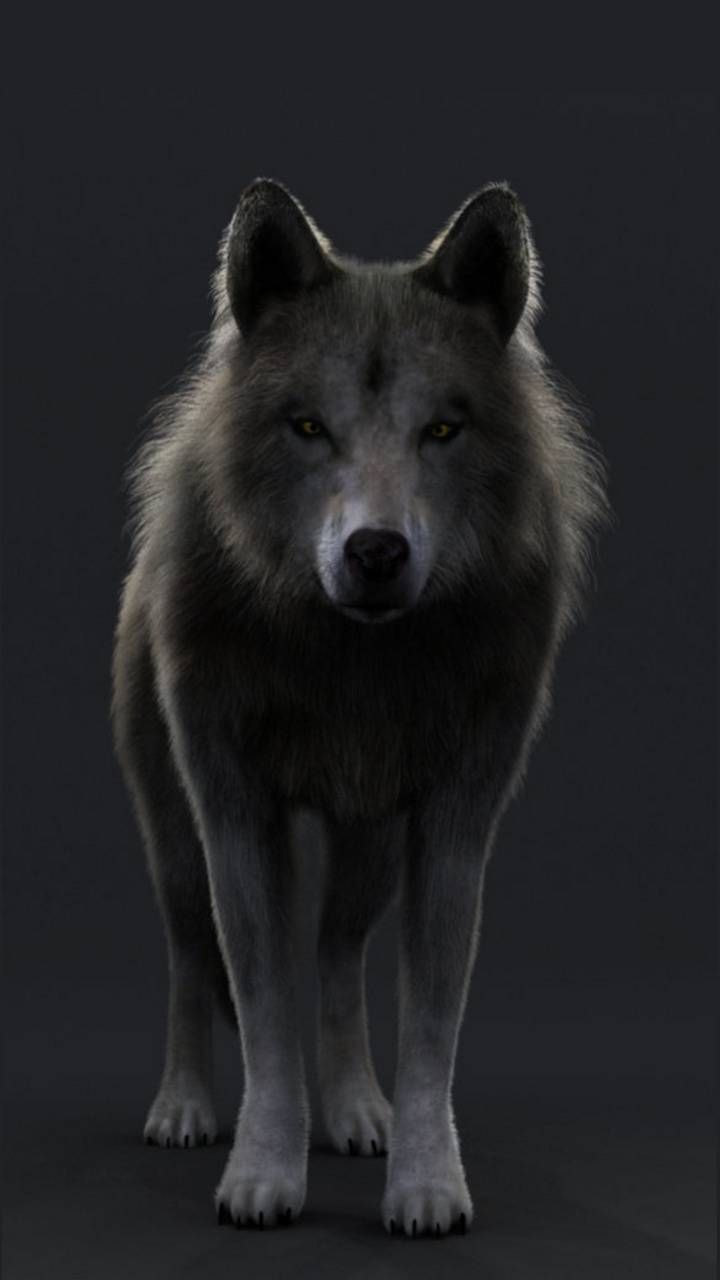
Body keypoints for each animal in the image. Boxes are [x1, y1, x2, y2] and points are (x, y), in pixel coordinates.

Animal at [111, 176, 607, 1237]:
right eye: (308, 427)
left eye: (442, 429)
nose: (376, 552)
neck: (352, 667)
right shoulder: (236, 817)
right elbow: (262, 1012)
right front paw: (263, 1173)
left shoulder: (457, 824)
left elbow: (428, 1029)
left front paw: (425, 1184)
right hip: (172, 837)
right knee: (187, 958)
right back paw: (182, 1106)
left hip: (372, 843)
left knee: (338, 956)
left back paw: (352, 1108)